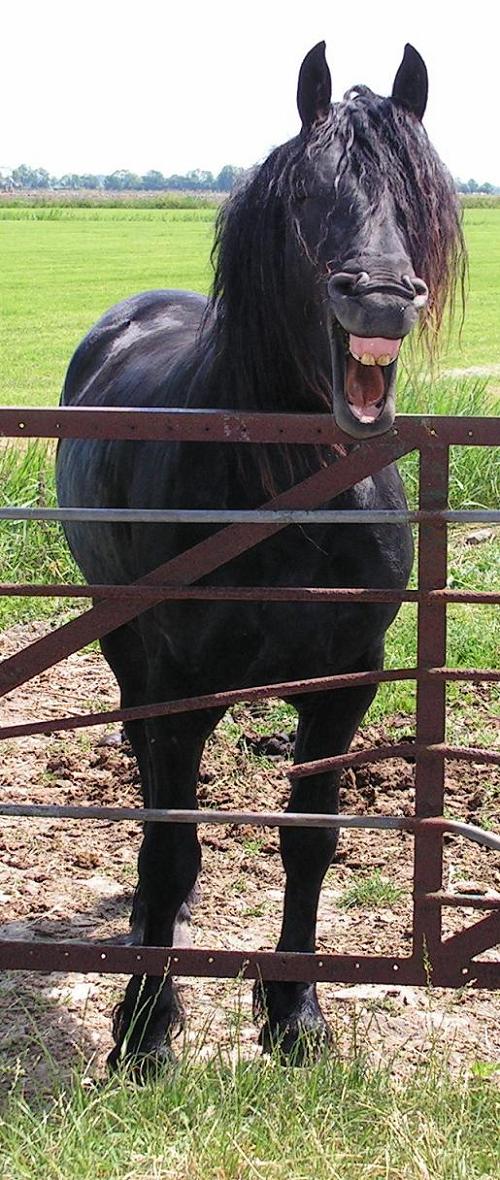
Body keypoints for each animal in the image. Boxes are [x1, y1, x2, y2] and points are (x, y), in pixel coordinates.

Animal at [56, 42, 464, 1070]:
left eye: (420, 194)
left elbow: (309, 841)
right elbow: (167, 843)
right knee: (151, 791)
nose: (381, 299)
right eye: (310, 196)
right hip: (127, 649)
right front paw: (145, 1030)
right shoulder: (179, 684)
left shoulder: (344, 684)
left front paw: (296, 1014)